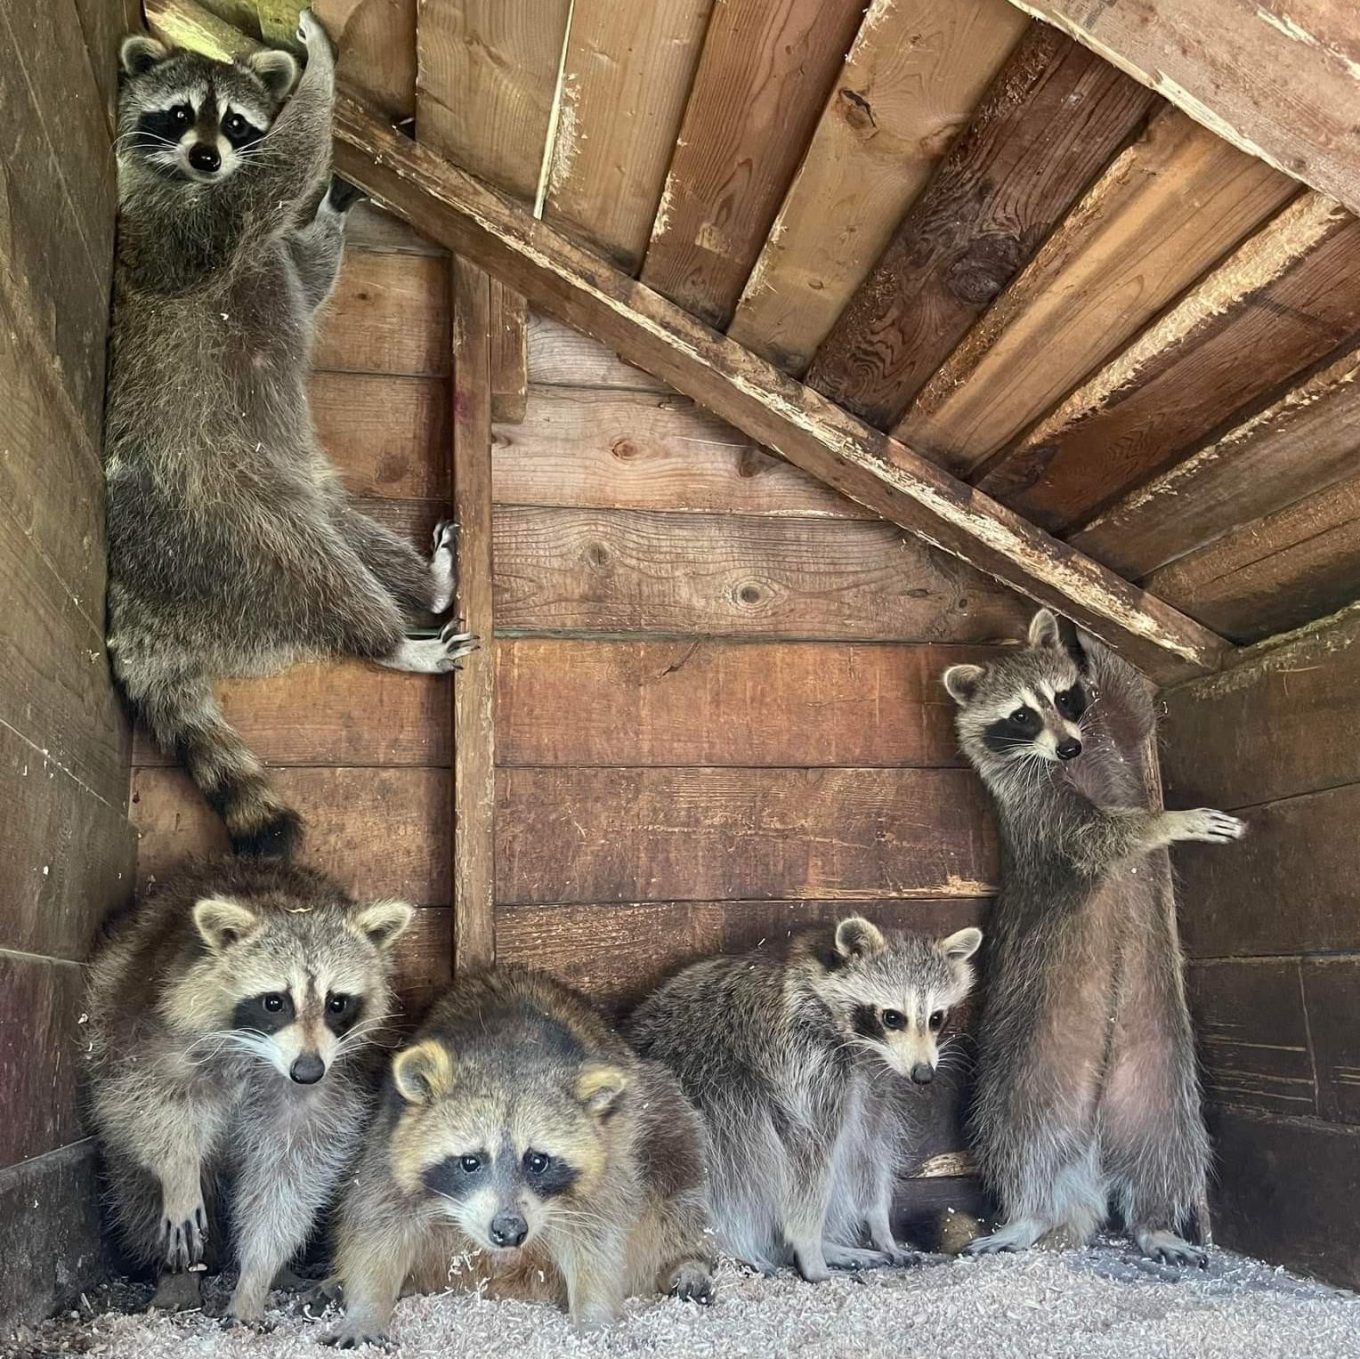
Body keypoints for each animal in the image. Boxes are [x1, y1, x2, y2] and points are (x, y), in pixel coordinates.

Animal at [86, 857, 413, 1321]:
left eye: (337, 1003)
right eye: (275, 1002)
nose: (307, 1071)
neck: (259, 1059)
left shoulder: (330, 1088)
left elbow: (290, 1178)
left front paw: (257, 1275)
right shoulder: (147, 1030)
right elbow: (154, 1110)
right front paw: (179, 1171)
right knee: (137, 1194)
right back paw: (175, 1276)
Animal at [106, 13, 472, 860]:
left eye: (236, 123)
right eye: (180, 114)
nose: (208, 155)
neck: (190, 179)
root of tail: (138, 608)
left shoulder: (248, 237)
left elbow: (307, 269)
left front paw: (331, 208)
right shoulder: (175, 233)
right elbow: (269, 184)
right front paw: (322, 72)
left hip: (288, 497)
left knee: (354, 542)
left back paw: (424, 584)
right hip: (220, 535)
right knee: (317, 583)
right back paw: (389, 641)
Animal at [327, 966, 714, 1348]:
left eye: (537, 1161)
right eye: (471, 1162)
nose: (509, 1230)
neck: (510, 1049)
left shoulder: (611, 1158)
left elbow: (598, 1237)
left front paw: (595, 1313)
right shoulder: (385, 1140)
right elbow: (375, 1227)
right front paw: (366, 1308)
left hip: (656, 1114)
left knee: (676, 1172)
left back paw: (683, 1259)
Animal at [626, 918, 982, 1281]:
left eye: (936, 1018)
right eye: (892, 1017)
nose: (924, 1075)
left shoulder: (872, 1082)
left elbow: (869, 1147)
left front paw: (879, 1224)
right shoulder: (801, 1061)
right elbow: (806, 1154)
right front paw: (809, 1250)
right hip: (708, 1089)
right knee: (741, 1153)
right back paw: (741, 1246)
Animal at [943, 608, 1244, 1265]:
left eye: (1063, 698)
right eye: (1021, 716)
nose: (1069, 744)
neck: (1065, 760)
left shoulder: (1117, 739)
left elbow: (1135, 702)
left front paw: (1082, 631)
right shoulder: (1036, 811)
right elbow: (1099, 837)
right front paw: (1168, 822)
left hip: (1159, 1068)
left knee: (1168, 1145)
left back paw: (1155, 1222)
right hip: (1029, 1057)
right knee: (1019, 1133)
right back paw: (1027, 1214)